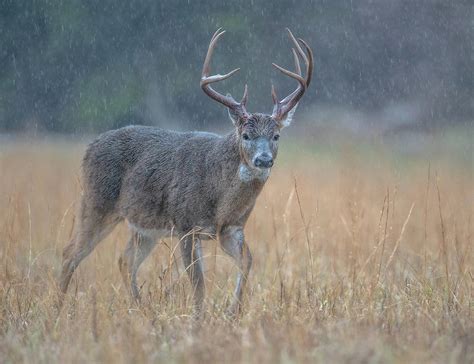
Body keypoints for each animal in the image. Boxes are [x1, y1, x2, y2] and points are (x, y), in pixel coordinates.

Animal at [57, 28, 312, 318]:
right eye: (246, 135)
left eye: (276, 136)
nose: (264, 159)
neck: (220, 198)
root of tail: (89, 146)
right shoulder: (185, 225)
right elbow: (198, 282)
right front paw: (198, 319)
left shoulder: (230, 228)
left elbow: (247, 261)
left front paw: (232, 312)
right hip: (96, 201)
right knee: (70, 253)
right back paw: (59, 309)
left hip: (144, 227)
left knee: (124, 260)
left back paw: (141, 309)